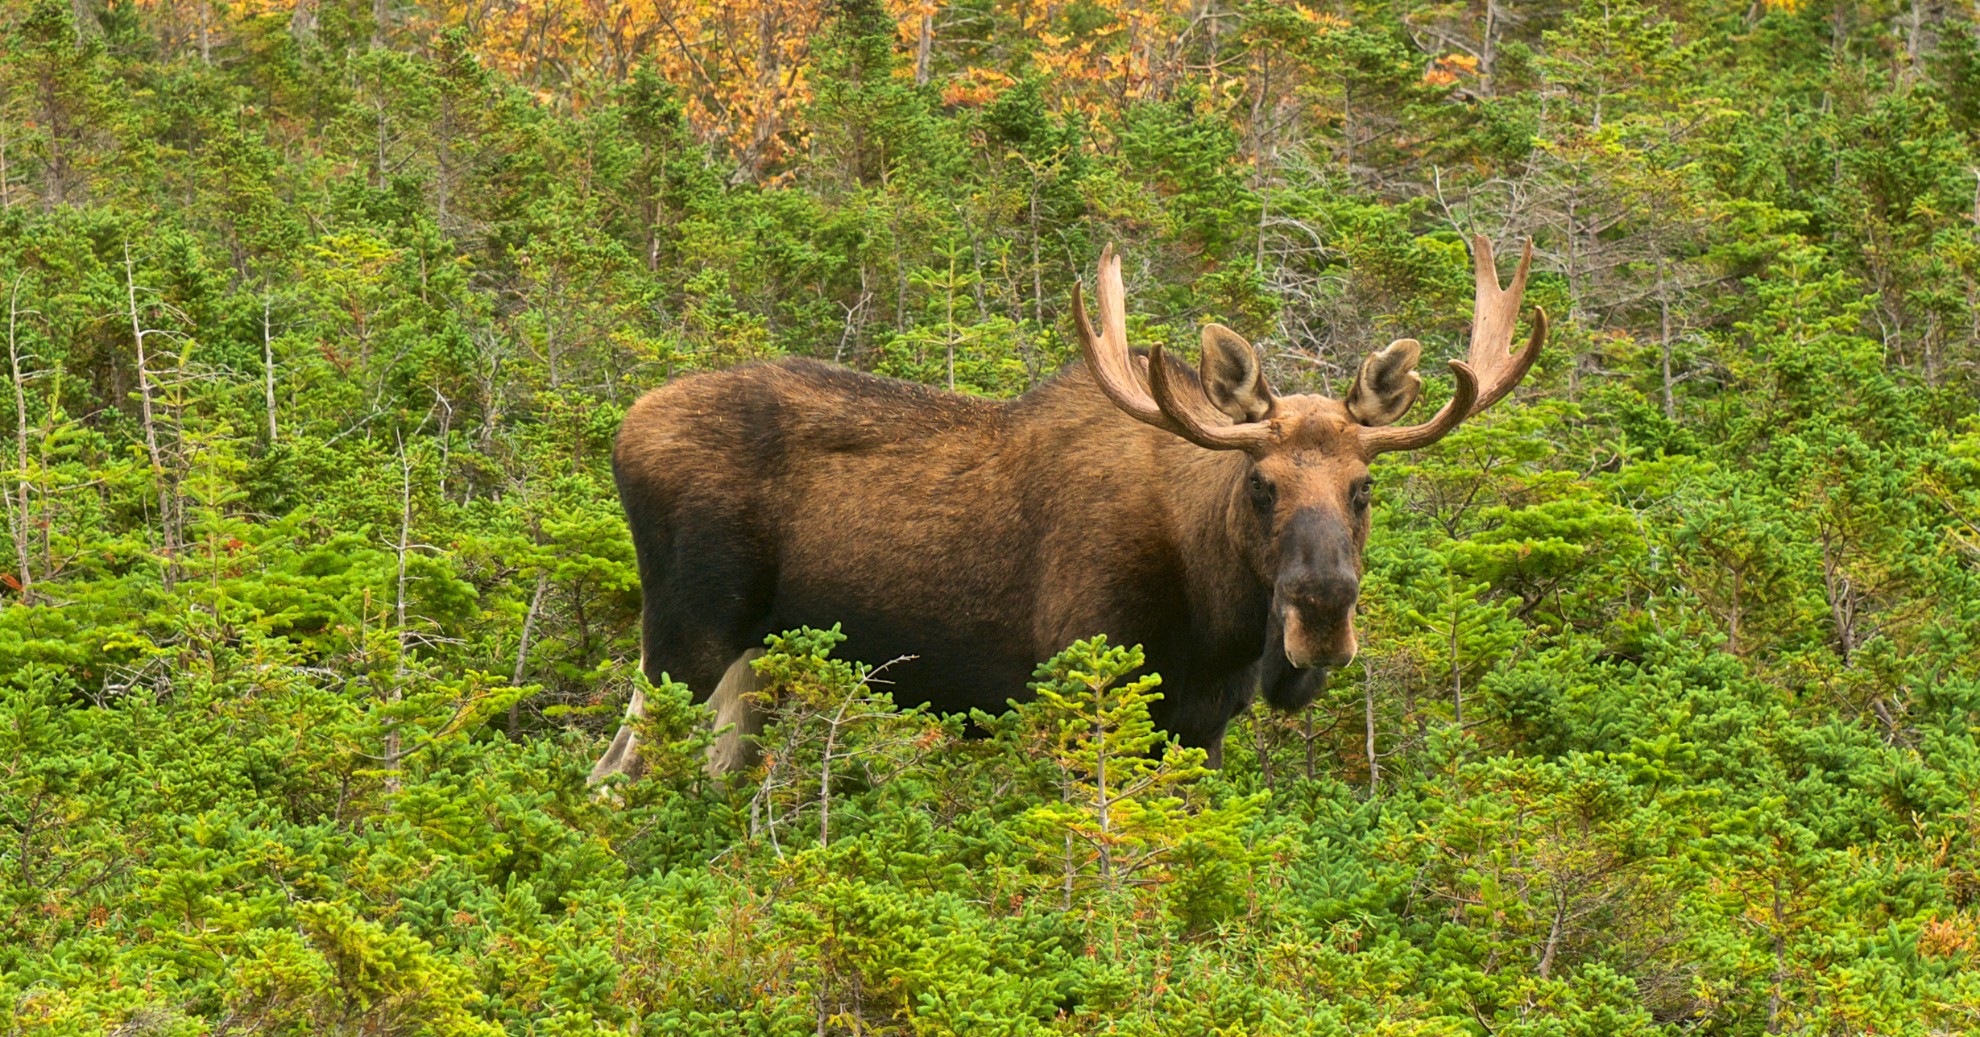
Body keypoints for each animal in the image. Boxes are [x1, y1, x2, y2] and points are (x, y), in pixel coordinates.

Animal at [589, 237, 1544, 784]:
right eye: (1260, 482)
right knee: (618, 774)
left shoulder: (1200, 725)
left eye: (1363, 487)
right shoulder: (1088, 689)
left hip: (747, 663)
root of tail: (623, 427)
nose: (1322, 610)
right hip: (684, 638)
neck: (1217, 620)